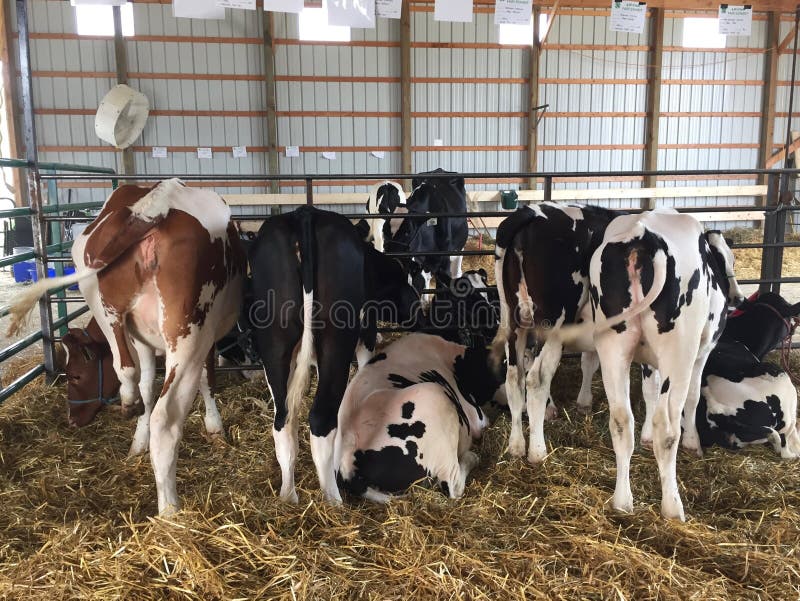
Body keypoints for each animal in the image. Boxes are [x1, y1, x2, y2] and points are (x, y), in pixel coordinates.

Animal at [7, 178, 246, 515]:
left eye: (75, 375)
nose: (72, 420)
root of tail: (150, 207)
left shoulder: (143, 340)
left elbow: (150, 384)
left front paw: (138, 441)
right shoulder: (198, 339)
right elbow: (199, 380)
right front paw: (214, 429)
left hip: (114, 312)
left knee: (131, 377)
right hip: (187, 334)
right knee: (165, 416)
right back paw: (170, 510)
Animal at [248, 206, 420, 504]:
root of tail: (304, 214)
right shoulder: (366, 334)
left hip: (274, 341)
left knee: (283, 419)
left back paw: (288, 496)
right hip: (335, 342)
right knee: (320, 418)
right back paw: (333, 500)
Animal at [547, 212, 744, 520]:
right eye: (728, 260)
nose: (739, 298)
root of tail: (641, 235)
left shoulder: (648, 361)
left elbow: (649, 391)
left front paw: (646, 439)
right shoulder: (703, 351)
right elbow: (693, 398)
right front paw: (693, 443)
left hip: (614, 344)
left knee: (620, 420)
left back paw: (622, 501)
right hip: (679, 350)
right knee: (667, 427)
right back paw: (672, 507)